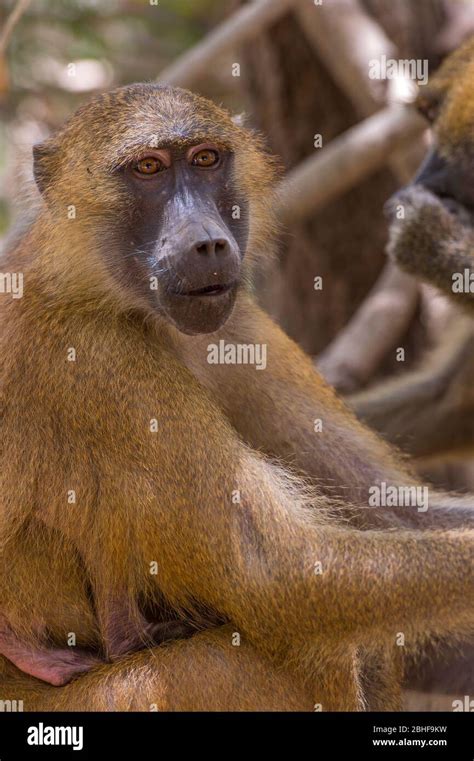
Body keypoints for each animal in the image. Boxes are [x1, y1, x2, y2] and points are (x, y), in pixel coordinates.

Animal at [1, 83, 474, 711]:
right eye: (148, 168)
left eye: (206, 159)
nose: (207, 243)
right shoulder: (92, 361)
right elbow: (274, 575)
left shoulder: (235, 330)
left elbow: (391, 513)